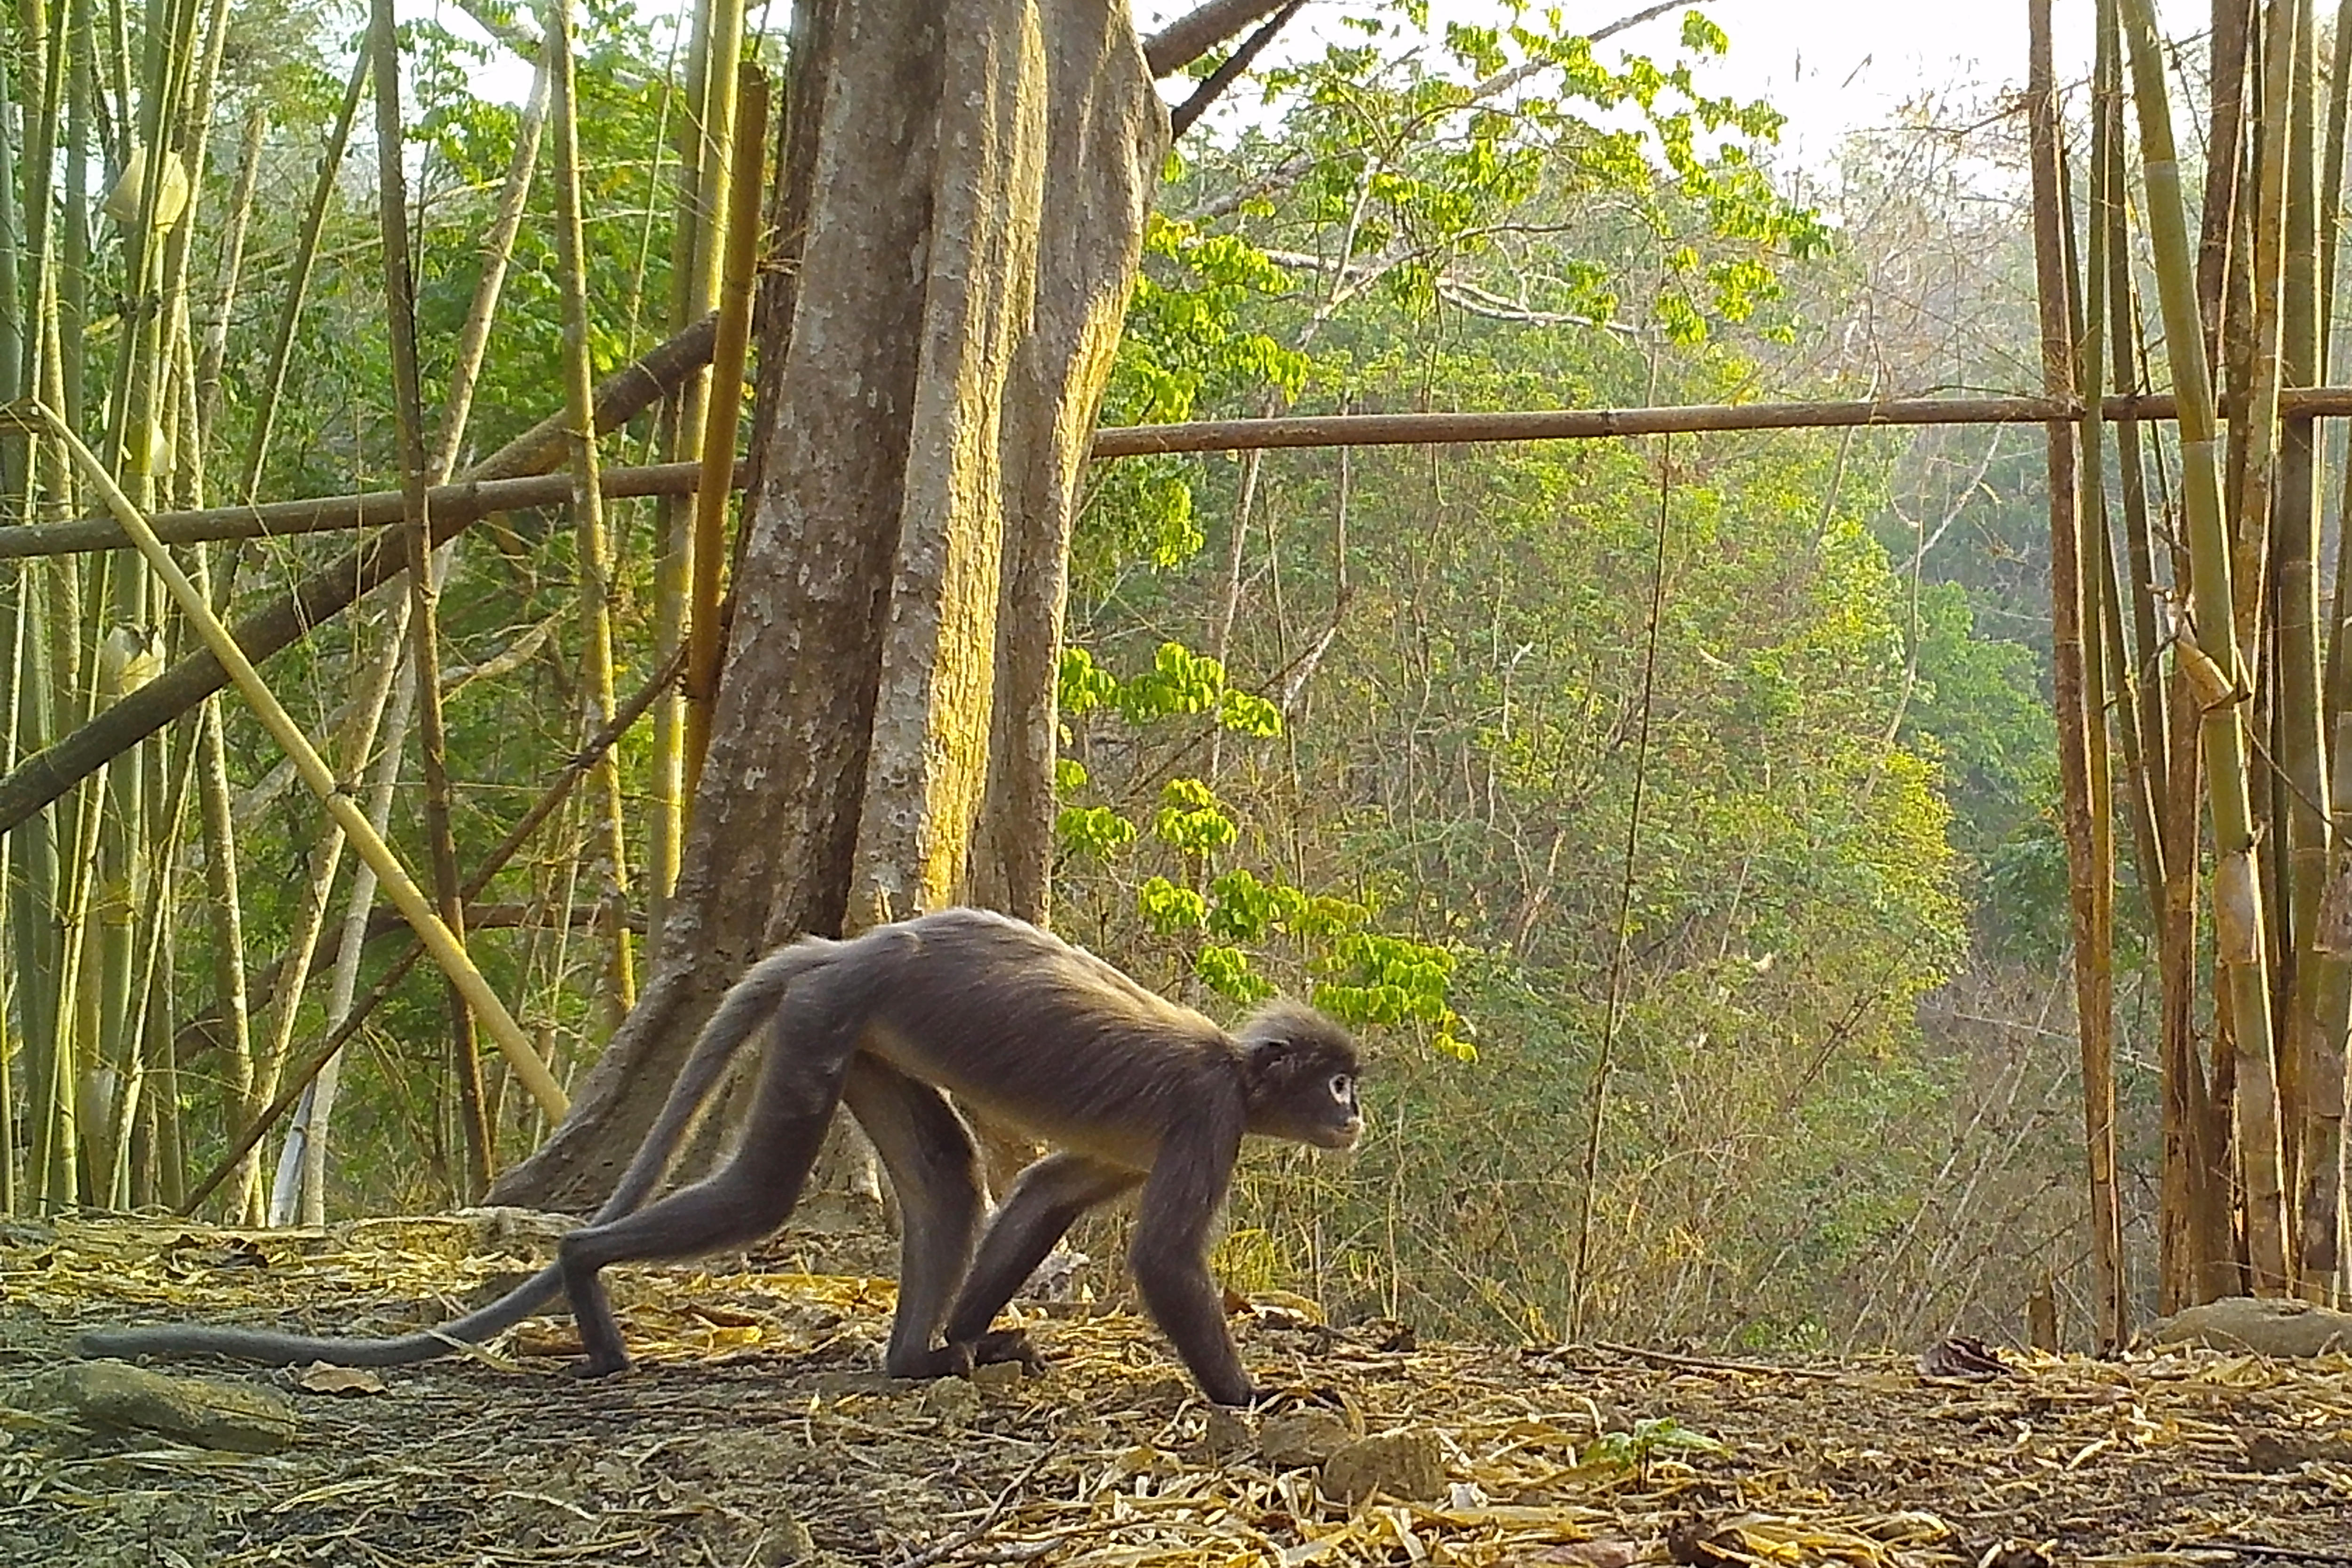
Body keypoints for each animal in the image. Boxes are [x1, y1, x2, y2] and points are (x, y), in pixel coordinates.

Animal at [81, 907, 1364, 1406]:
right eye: (1338, 1080)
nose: (1354, 1114)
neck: (1237, 1069)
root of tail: (849, 944)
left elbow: (1047, 1188)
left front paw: (970, 1340)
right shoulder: (1207, 1115)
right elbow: (1159, 1262)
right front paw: (1258, 1396)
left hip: (854, 1034)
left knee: (948, 1177)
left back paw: (913, 1358)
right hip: (830, 1018)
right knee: (761, 1193)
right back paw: (586, 1273)